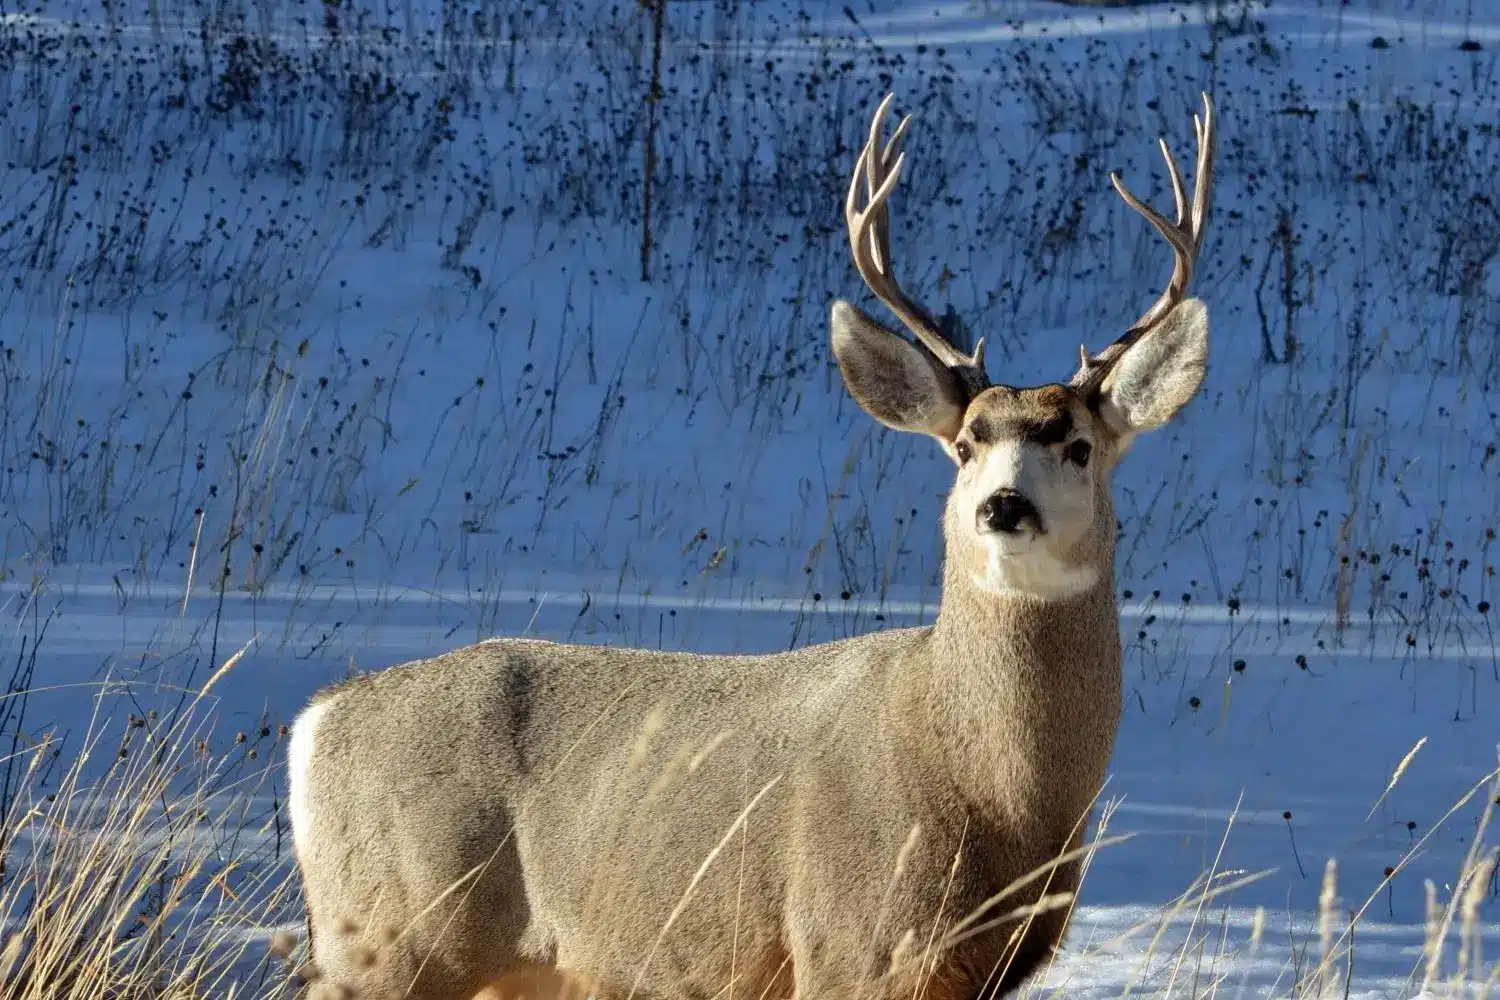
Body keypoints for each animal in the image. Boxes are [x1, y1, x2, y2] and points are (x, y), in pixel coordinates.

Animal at [287, 91, 1216, 1000]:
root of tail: (317, 722)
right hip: (393, 936)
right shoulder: (847, 940)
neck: (995, 798)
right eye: (964, 445)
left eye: (1079, 446)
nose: (1003, 505)